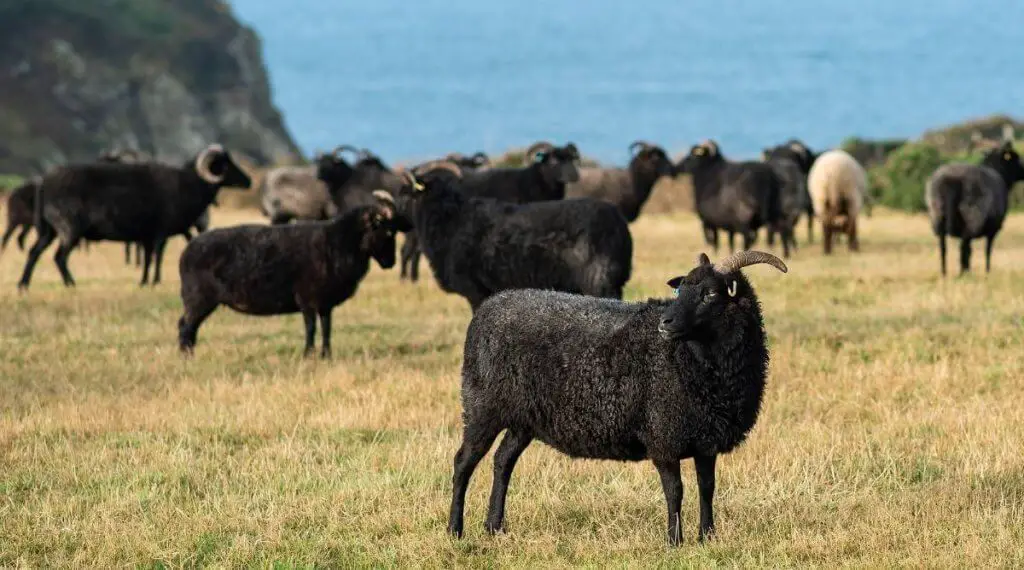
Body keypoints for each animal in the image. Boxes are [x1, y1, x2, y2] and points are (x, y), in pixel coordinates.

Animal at [17, 144, 251, 290]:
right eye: (224, 164)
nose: (248, 181)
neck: (188, 185)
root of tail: (45, 182)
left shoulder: (146, 236)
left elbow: (147, 258)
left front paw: (145, 281)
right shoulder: (159, 233)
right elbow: (156, 257)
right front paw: (153, 281)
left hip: (49, 230)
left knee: (34, 252)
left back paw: (24, 285)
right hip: (69, 229)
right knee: (60, 257)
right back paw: (70, 284)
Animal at [177, 192, 398, 357]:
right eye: (387, 231)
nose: (391, 263)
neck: (337, 243)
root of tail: (186, 252)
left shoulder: (325, 303)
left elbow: (327, 328)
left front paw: (326, 355)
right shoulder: (307, 299)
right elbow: (311, 328)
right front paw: (308, 355)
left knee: (188, 327)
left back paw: (189, 354)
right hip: (198, 298)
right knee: (186, 326)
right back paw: (187, 357)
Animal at [392, 162, 632, 311]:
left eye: (404, 192)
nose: (394, 220)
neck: (448, 219)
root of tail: (618, 224)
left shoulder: (476, 290)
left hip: (598, 282)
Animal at [447, 250, 787, 545]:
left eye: (711, 294)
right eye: (680, 291)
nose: (665, 323)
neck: (693, 361)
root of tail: (489, 305)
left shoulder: (706, 439)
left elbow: (707, 488)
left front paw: (707, 537)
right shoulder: (663, 436)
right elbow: (675, 491)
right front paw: (675, 542)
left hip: (523, 419)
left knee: (503, 461)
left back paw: (494, 527)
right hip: (481, 406)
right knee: (463, 462)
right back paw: (455, 530)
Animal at [925, 141, 1024, 275]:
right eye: (1016, 158)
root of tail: (953, 179)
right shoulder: (993, 229)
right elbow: (987, 251)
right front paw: (987, 272)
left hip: (938, 215)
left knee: (944, 248)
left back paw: (945, 274)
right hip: (973, 217)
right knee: (964, 248)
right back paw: (963, 273)